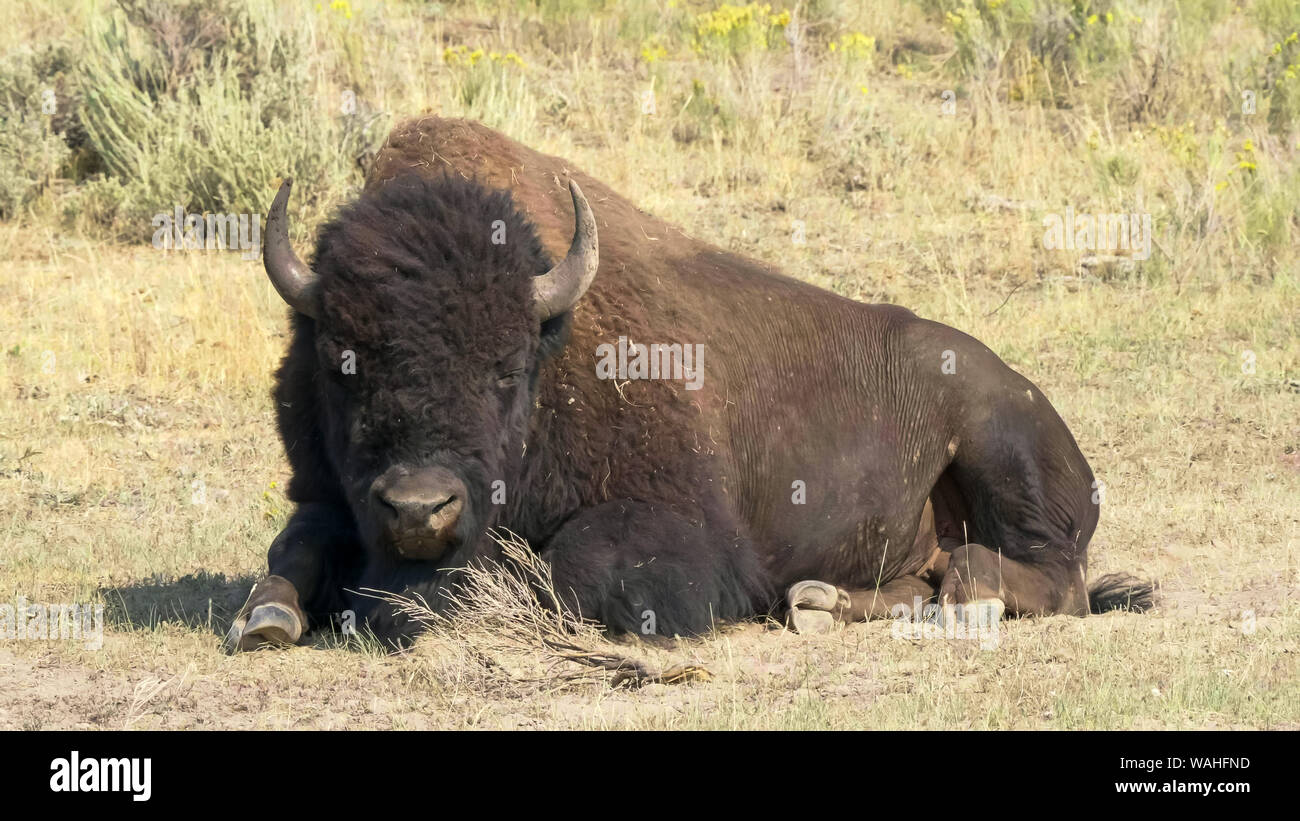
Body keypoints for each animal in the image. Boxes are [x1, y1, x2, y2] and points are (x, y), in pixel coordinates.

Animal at [224, 117, 1152, 652]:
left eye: (505, 366)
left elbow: (570, 567)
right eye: (341, 359)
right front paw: (266, 617)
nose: (420, 507)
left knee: (1053, 580)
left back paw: (962, 583)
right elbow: (294, 548)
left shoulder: (684, 534)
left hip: (1002, 446)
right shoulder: (324, 494)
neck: (559, 338)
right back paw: (820, 601)